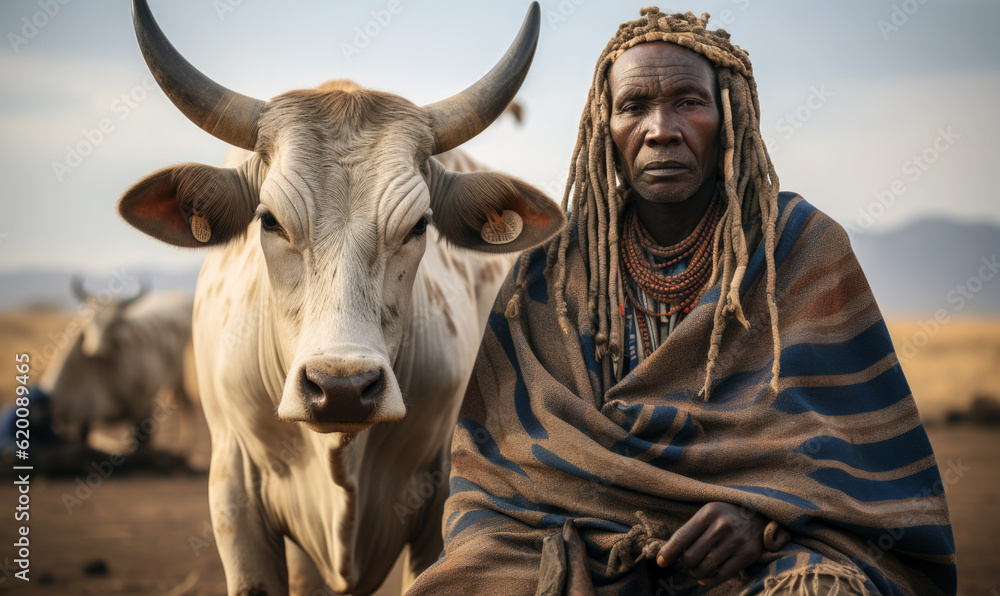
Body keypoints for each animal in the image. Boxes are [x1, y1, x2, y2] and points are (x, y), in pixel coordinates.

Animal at [41, 278, 196, 450]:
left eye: (113, 323)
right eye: (87, 320)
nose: (95, 349)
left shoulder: (141, 410)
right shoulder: (84, 419)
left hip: (176, 380)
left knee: (186, 407)